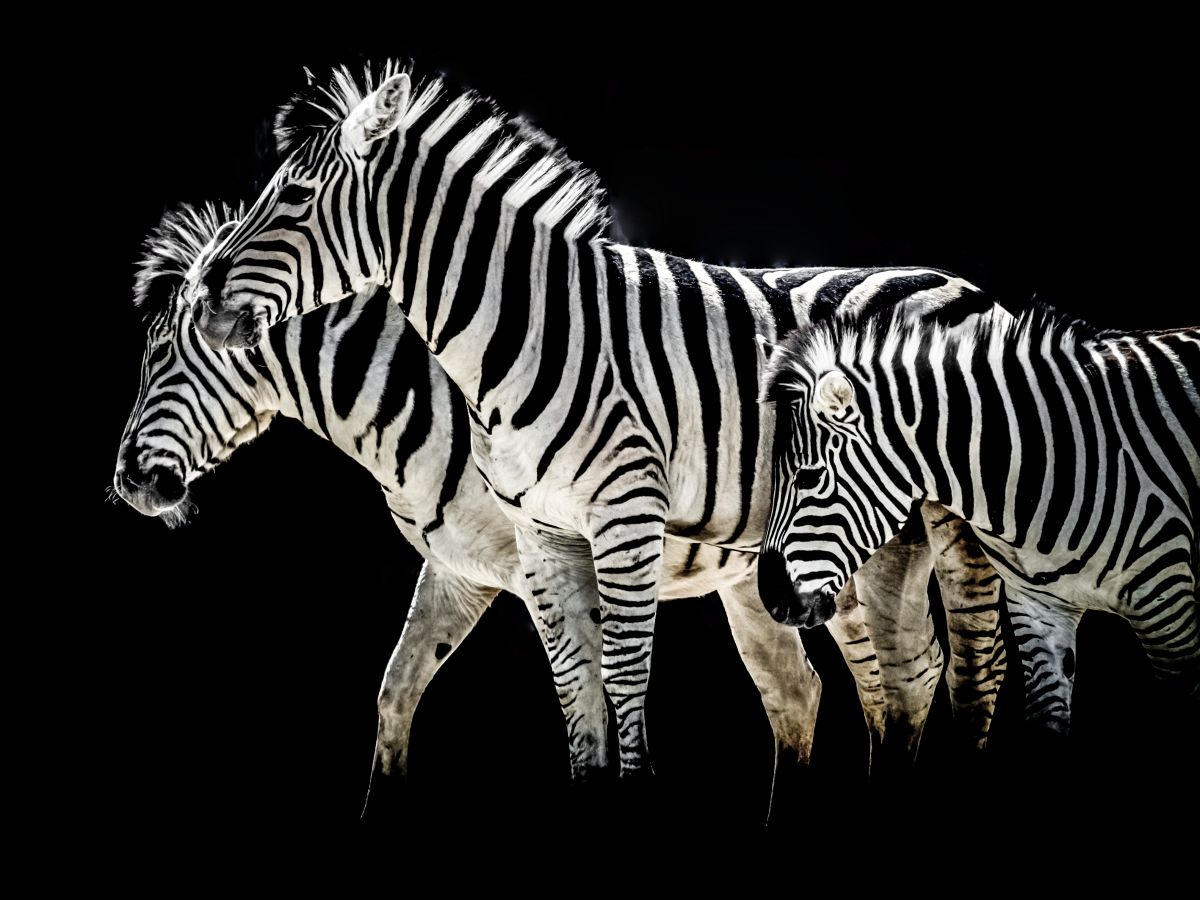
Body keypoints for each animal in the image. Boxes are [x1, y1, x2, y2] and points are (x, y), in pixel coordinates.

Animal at [183, 61, 1005, 776]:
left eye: (295, 196)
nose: (200, 291)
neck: (520, 337)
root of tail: (967, 287)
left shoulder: (626, 517)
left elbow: (624, 680)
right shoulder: (541, 533)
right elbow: (575, 692)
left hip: (938, 528)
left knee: (951, 664)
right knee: (881, 677)